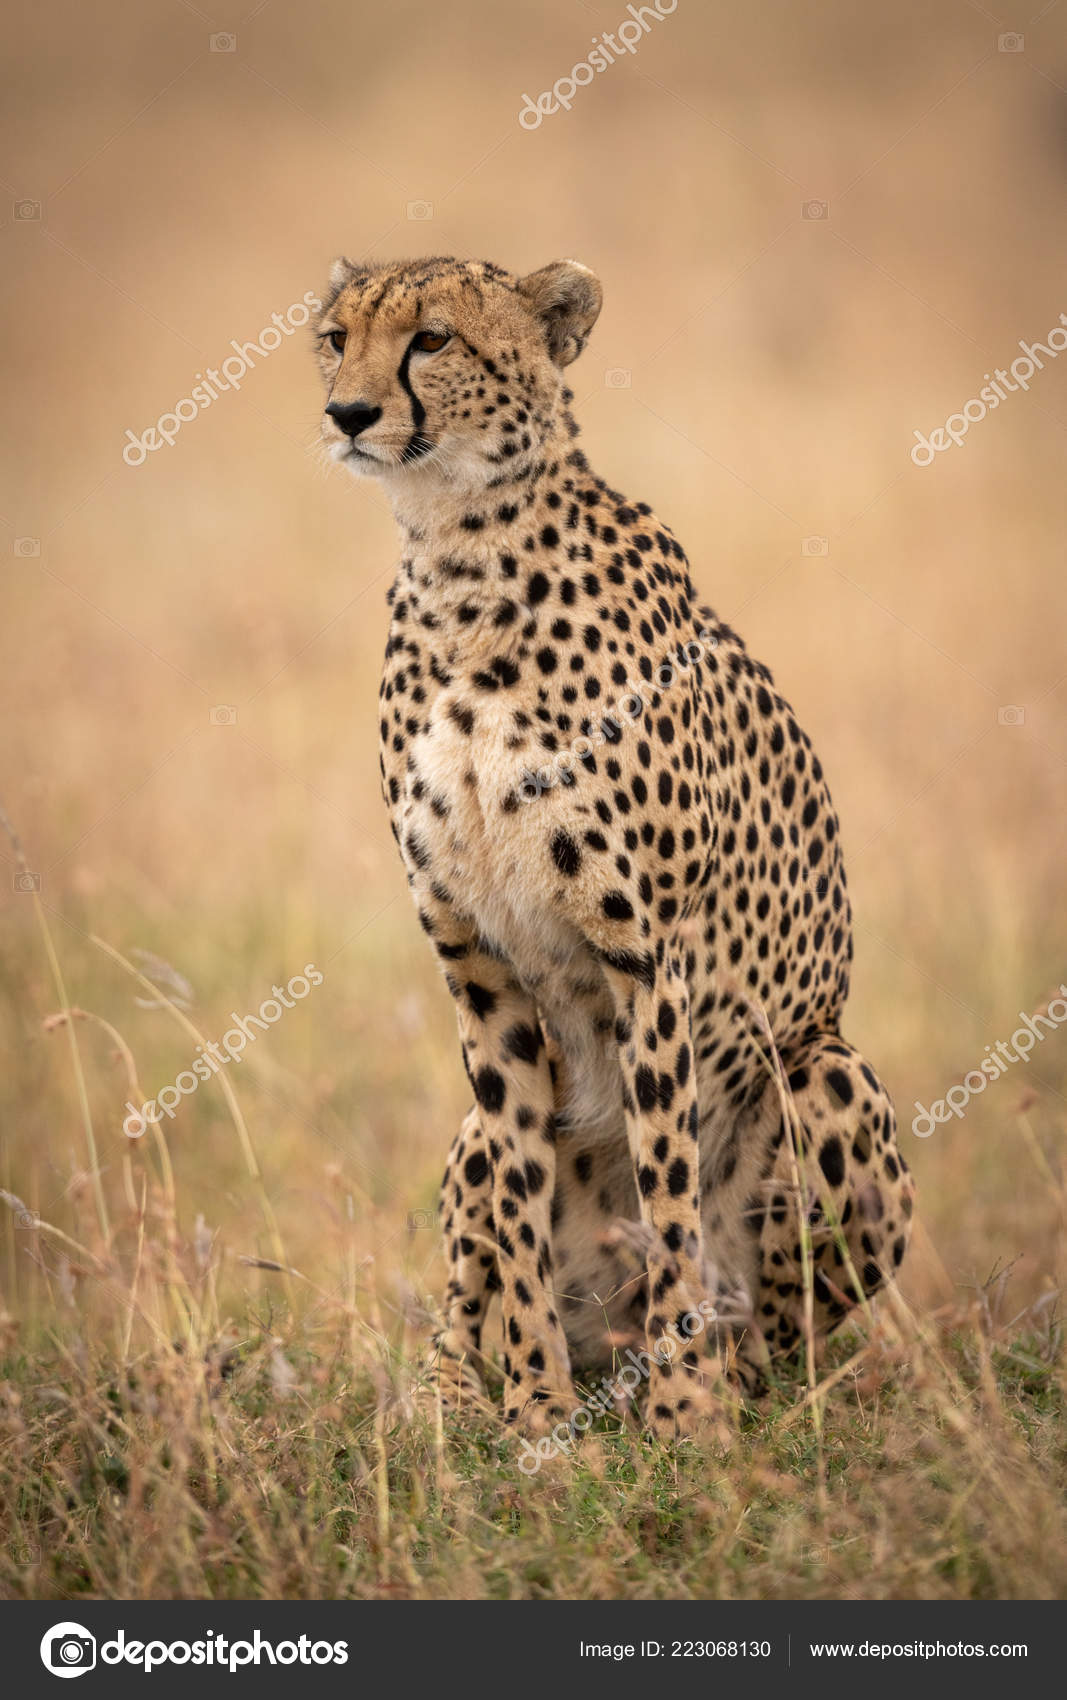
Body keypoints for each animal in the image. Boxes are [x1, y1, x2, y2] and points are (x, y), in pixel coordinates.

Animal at [314, 253, 915, 1440]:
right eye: (333, 338)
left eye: (432, 339)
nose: (347, 413)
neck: (460, 555)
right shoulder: (477, 965)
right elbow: (517, 1206)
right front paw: (537, 1415)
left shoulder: (648, 959)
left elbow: (670, 1190)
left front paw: (682, 1421)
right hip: (463, 1136)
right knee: (465, 1284)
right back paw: (448, 1400)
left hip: (825, 1068)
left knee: (783, 1325)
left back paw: (732, 1379)